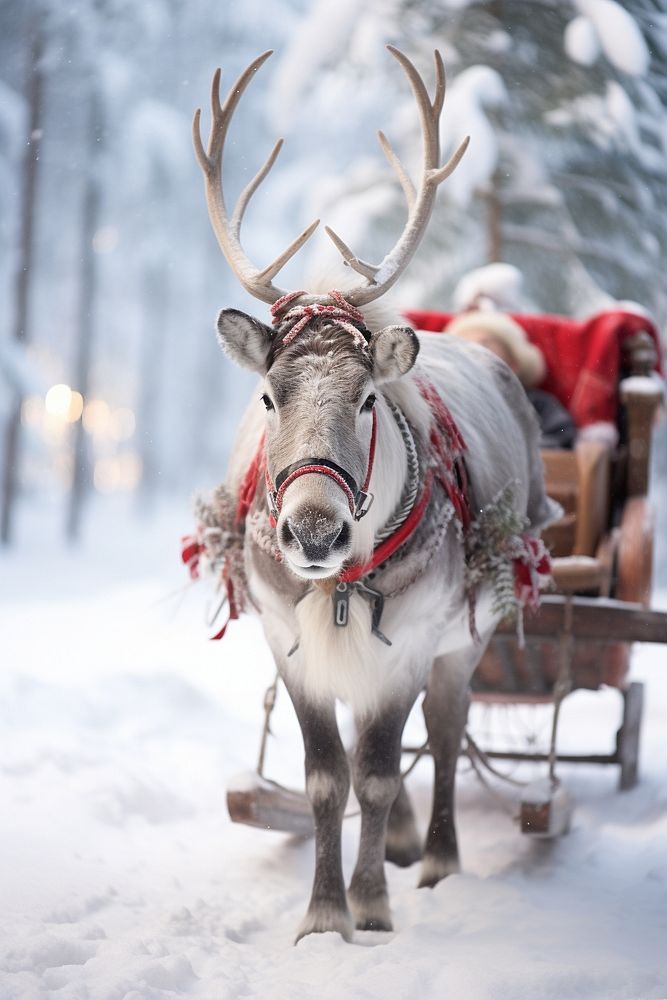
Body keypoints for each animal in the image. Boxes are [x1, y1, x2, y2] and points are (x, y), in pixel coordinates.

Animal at [192, 46, 557, 943]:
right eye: (267, 396)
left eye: (364, 399)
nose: (313, 534)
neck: (344, 586)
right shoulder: (288, 640)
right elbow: (328, 777)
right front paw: (323, 913)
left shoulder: (416, 641)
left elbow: (384, 771)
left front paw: (372, 907)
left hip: (469, 633)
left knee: (447, 734)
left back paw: (434, 859)